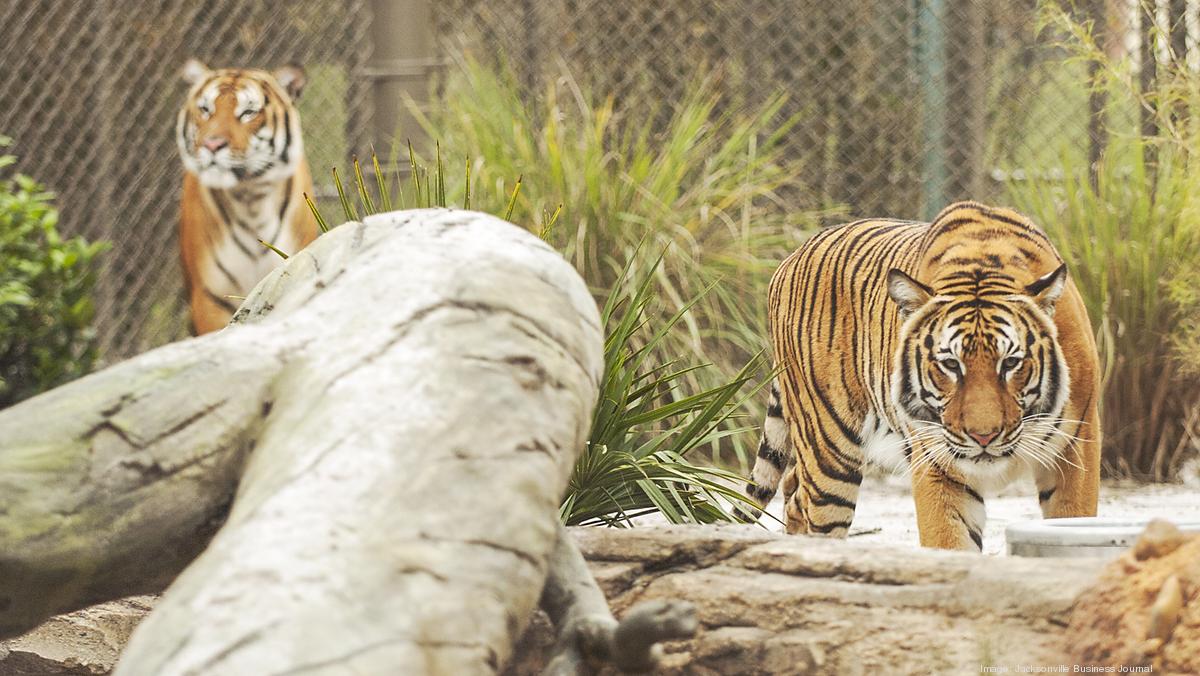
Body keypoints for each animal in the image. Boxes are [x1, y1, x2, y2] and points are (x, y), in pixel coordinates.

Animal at [737, 201, 1102, 551]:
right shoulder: (938, 461)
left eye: (1010, 363)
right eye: (950, 365)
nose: (983, 437)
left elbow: (1074, 519)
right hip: (828, 450)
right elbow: (949, 544)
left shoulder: (1076, 448)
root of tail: (790, 257)